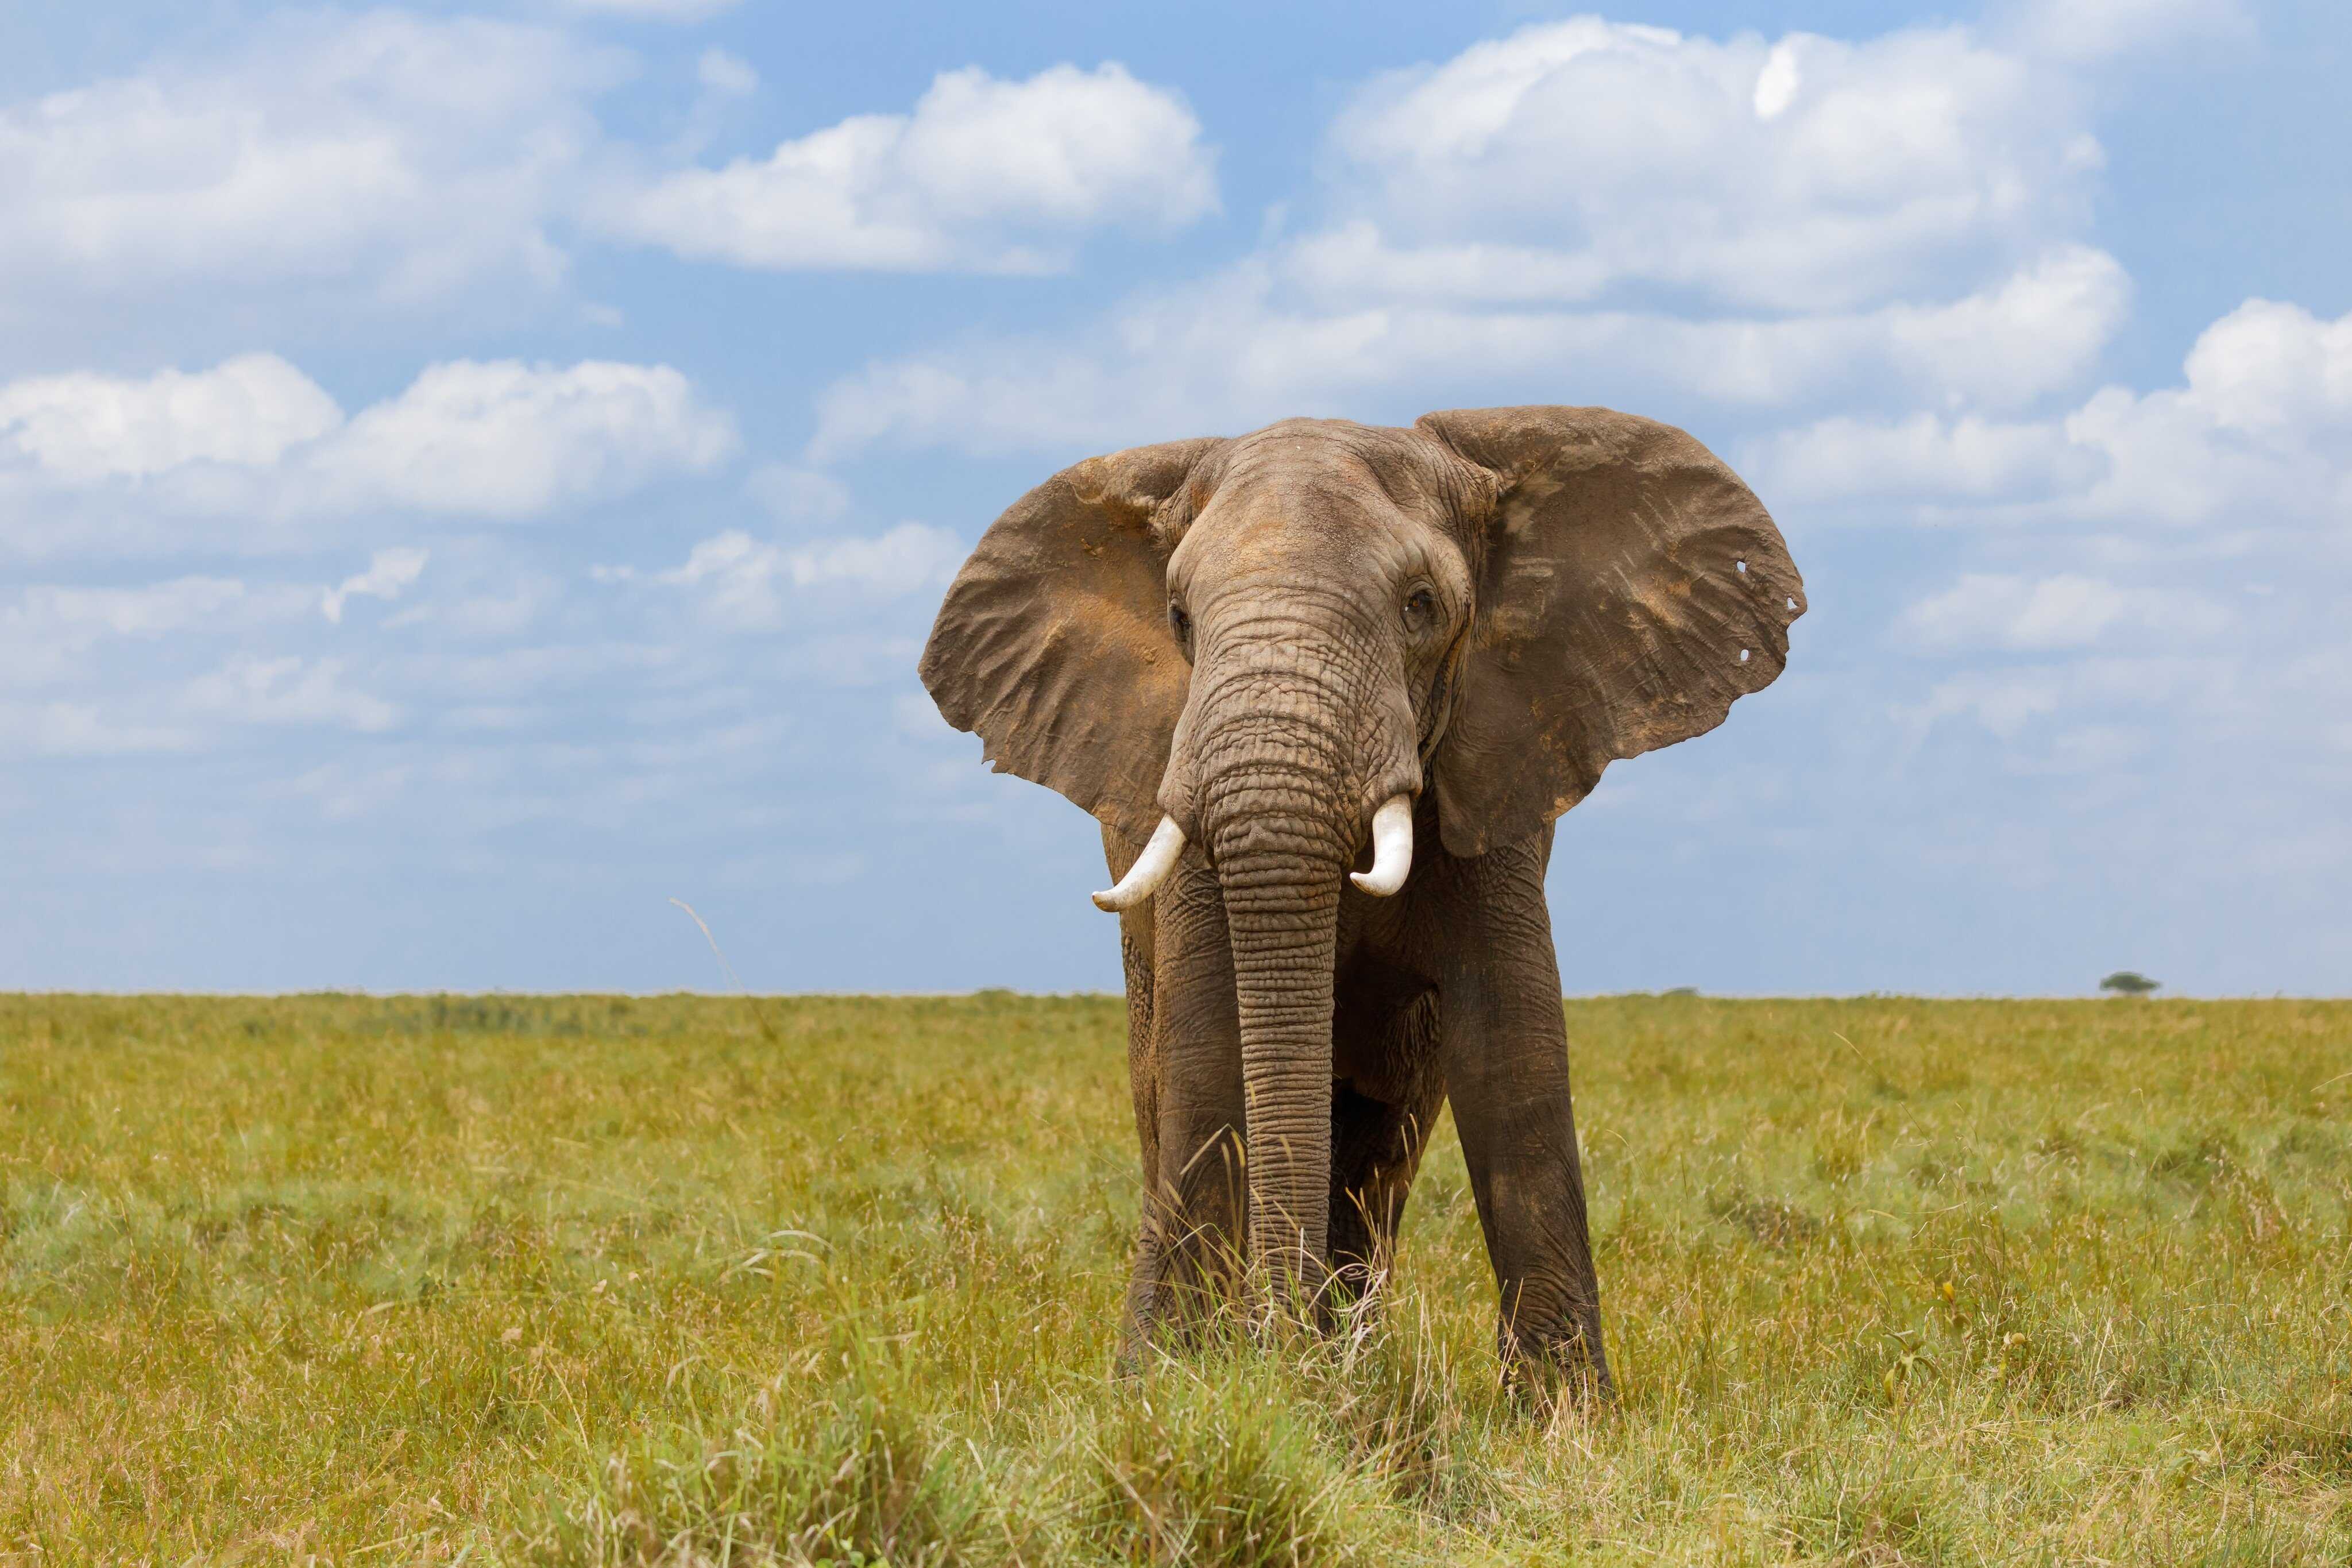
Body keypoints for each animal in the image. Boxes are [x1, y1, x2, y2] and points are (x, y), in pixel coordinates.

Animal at [919, 406, 1803, 1392]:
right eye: (1179, 618)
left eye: (1420, 605)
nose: (1277, 1352)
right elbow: (1207, 1055)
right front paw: (1179, 1388)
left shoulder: (1494, 776)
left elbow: (1512, 1054)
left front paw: (1565, 1415)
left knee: (1384, 1139)